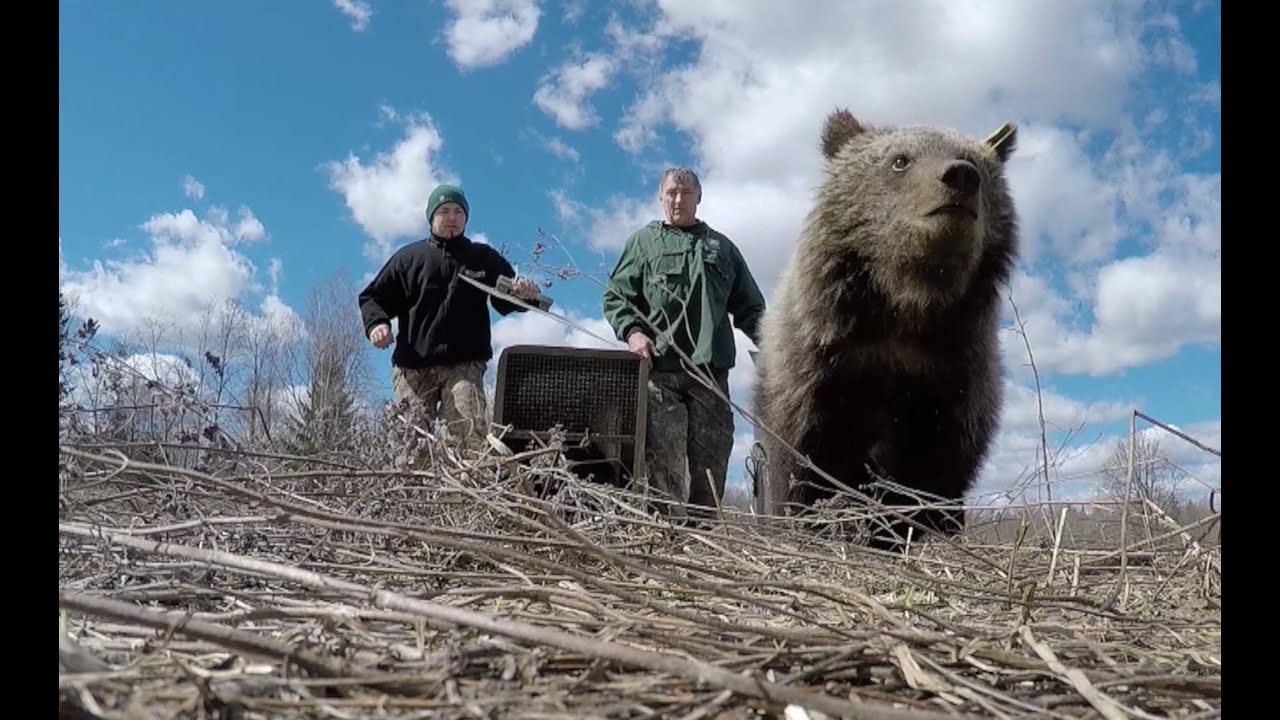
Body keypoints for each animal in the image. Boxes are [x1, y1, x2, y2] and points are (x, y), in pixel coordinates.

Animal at [751, 108, 1019, 551]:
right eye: (900, 160)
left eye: (976, 162)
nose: (961, 176)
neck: (905, 307)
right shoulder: (816, 370)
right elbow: (800, 466)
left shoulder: (953, 377)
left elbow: (935, 471)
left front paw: (913, 528)